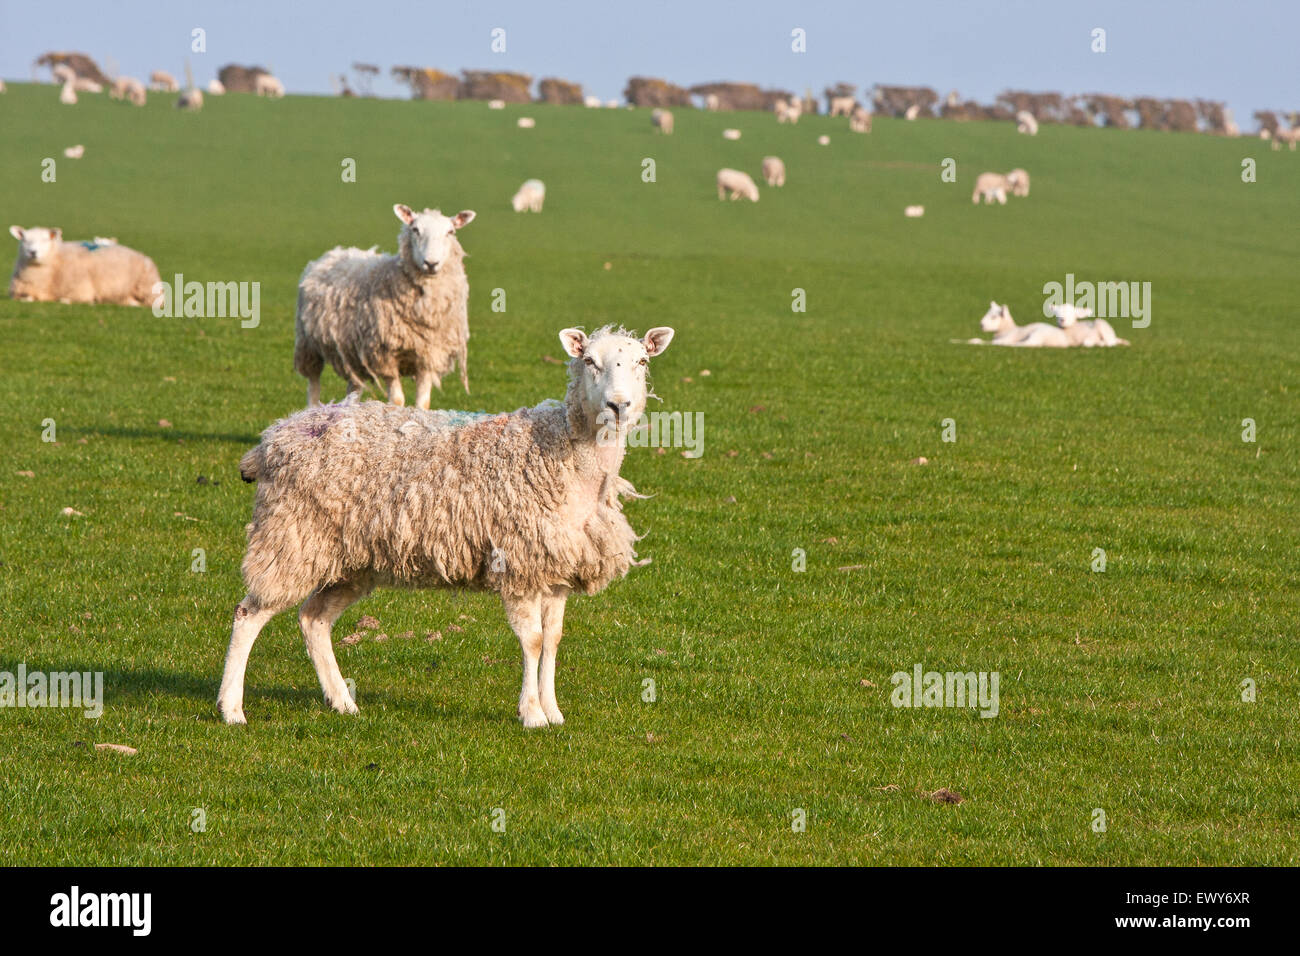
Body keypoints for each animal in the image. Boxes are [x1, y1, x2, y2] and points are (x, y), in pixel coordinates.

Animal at [8, 226, 161, 306]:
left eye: (45, 240)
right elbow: (26, 298)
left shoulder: (81, 290)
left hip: (147, 290)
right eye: (24, 240)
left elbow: (65, 300)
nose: (32, 252)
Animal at [217, 324, 676, 728]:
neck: (564, 453)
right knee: (248, 615)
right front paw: (531, 714)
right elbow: (532, 640)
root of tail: (274, 436)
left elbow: (554, 638)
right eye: (589, 361)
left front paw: (553, 710)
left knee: (313, 619)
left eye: (642, 360)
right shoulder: (520, 564)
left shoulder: (556, 568)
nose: (619, 406)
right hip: (290, 537)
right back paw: (232, 709)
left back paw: (342, 701)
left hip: (348, 558)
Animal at [294, 203, 476, 409]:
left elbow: (423, 403)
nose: (431, 263)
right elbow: (397, 401)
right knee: (313, 382)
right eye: (415, 230)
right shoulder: (385, 355)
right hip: (307, 344)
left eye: (450, 232)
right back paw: (311, 408)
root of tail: (334, 252)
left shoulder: (428, 356)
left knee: (353, 388)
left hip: (352, 353)